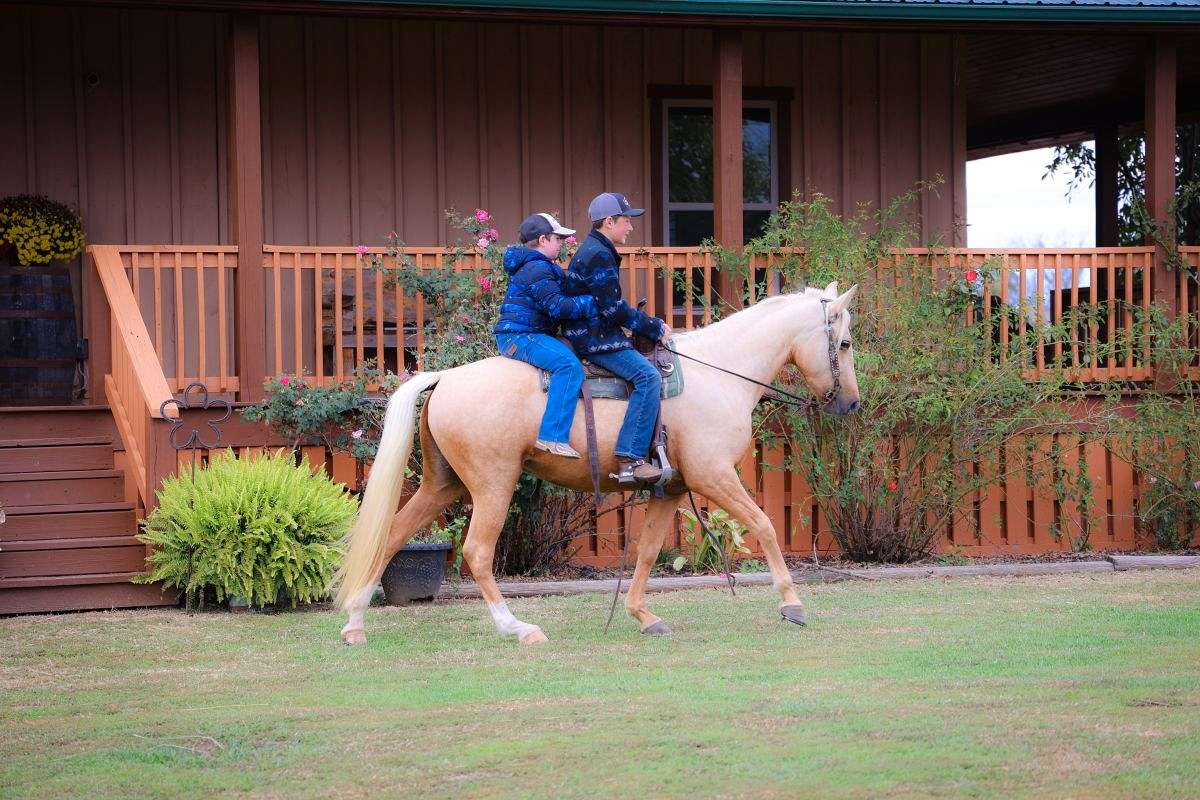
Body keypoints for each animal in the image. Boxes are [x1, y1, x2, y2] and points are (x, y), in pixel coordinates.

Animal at [335, 281, 861, 645]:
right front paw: (792, 604)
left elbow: (647, 552)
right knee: (477, 553)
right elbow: (766, 525)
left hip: (441, 485)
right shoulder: (713, 476)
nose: (852, 404)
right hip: (492, 485)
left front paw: (644, 616)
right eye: (845, 342)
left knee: (390, 538)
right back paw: (518, 628)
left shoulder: (671, 488)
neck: (720, 373)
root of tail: (445, 377)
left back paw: (355, 625)